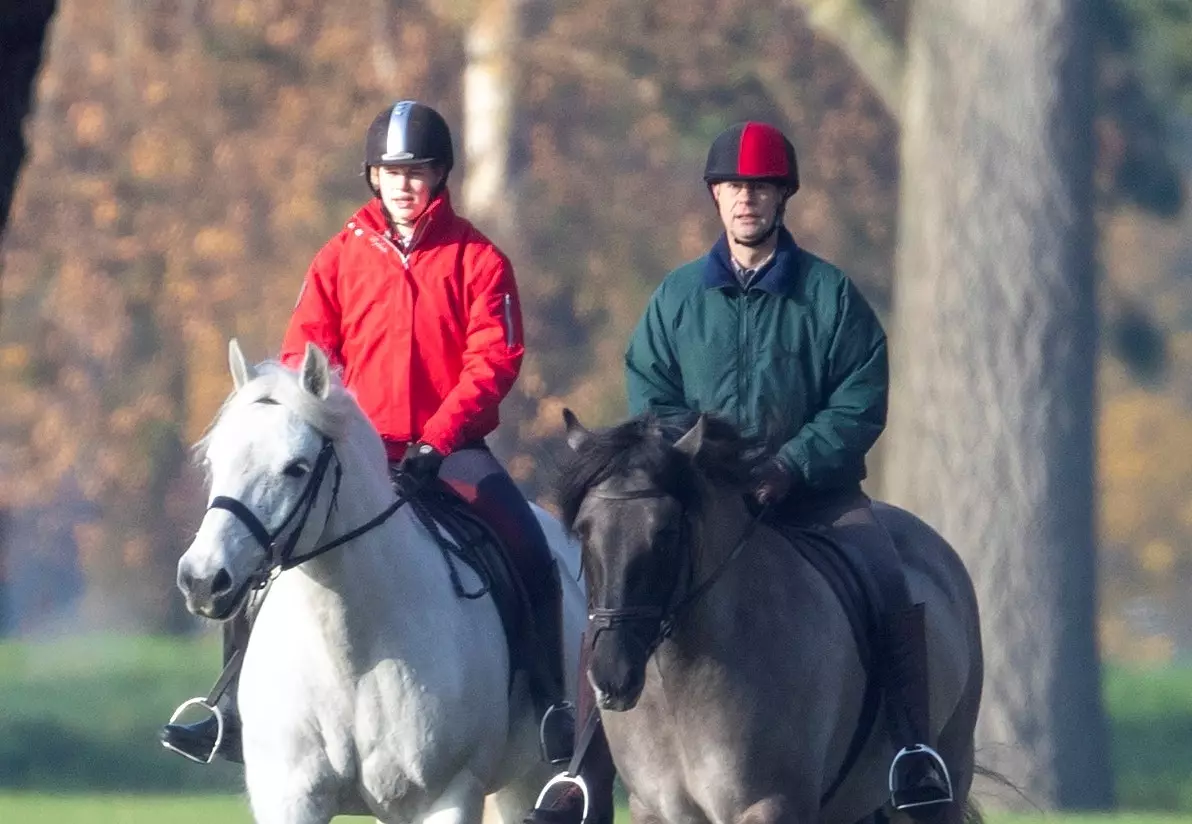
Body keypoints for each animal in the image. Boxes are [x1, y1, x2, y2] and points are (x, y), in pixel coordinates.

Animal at [175, 341, 586, 824]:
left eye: (296, 468)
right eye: (214, 460)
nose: (203, 580)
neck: (350, 651)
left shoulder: (446, 796)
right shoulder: (290, 797)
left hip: (533, 781)